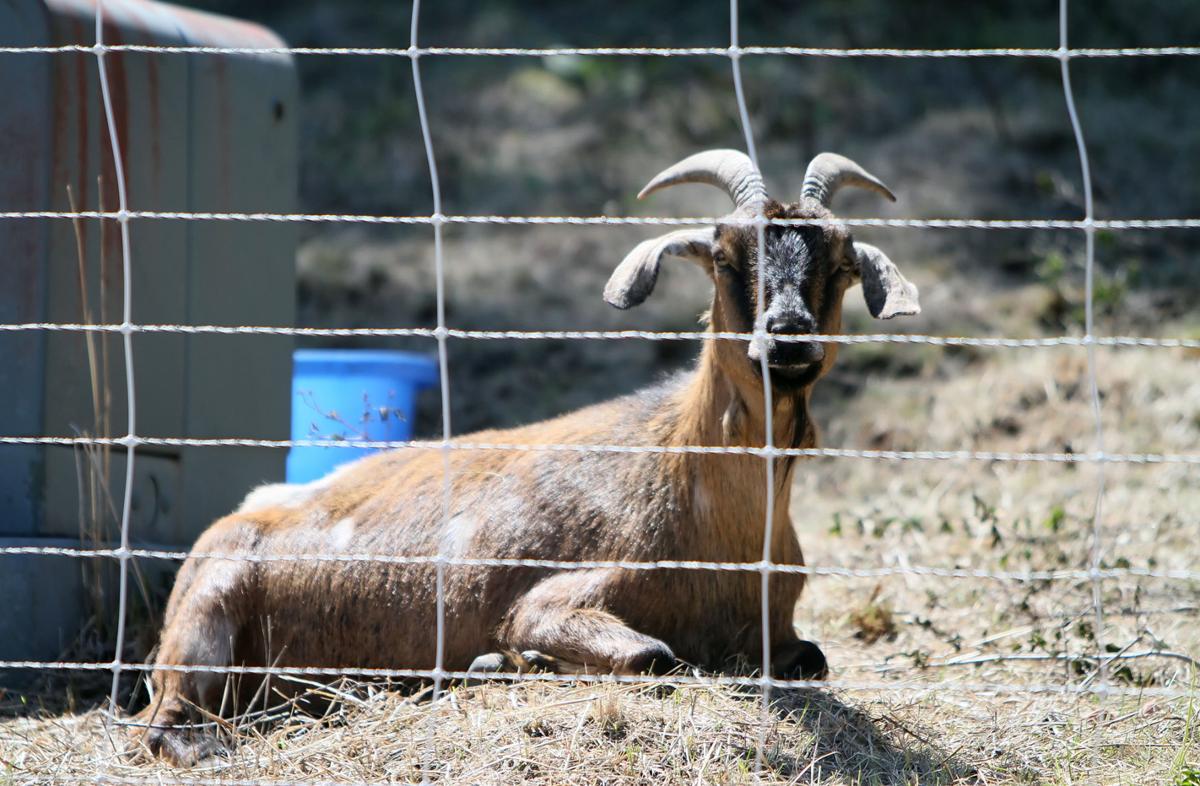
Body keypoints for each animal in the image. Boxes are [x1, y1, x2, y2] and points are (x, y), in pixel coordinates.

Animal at [133, 149, 919, 764]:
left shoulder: (780, 633)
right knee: (164, 722)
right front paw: (529, 660)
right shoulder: (552, 599)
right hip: (204, 615)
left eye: (840, 262)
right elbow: (652, 655)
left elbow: (812, 659)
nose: (787, 336)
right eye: (725, 256)